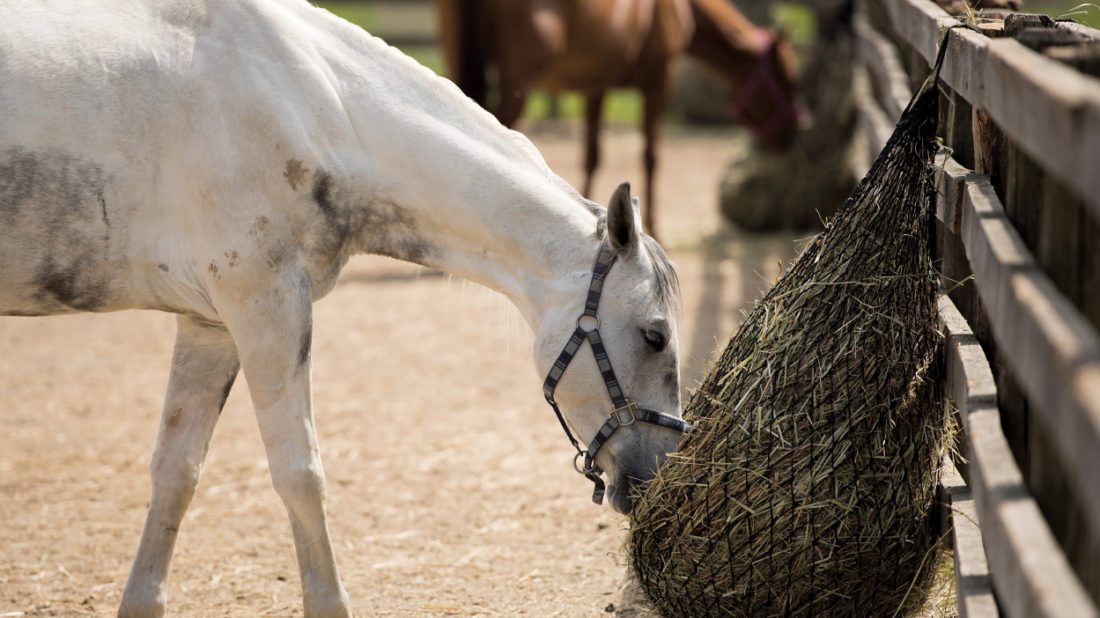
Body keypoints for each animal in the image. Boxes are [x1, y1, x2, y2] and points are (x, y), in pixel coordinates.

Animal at [0, 1, 691, 615]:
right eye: (655, 336)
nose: (659, 472)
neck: (311, 104)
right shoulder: (266, 307)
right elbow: (300, 474)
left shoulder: (211, 324)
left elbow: (176, 473)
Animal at [436, 0, 801, 238]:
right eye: (790, 79)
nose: (794, 133)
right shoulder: (658, 82)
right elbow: (651, 157)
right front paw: (654, 227)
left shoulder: (595, 87)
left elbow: (591, 157)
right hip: (518, 84)